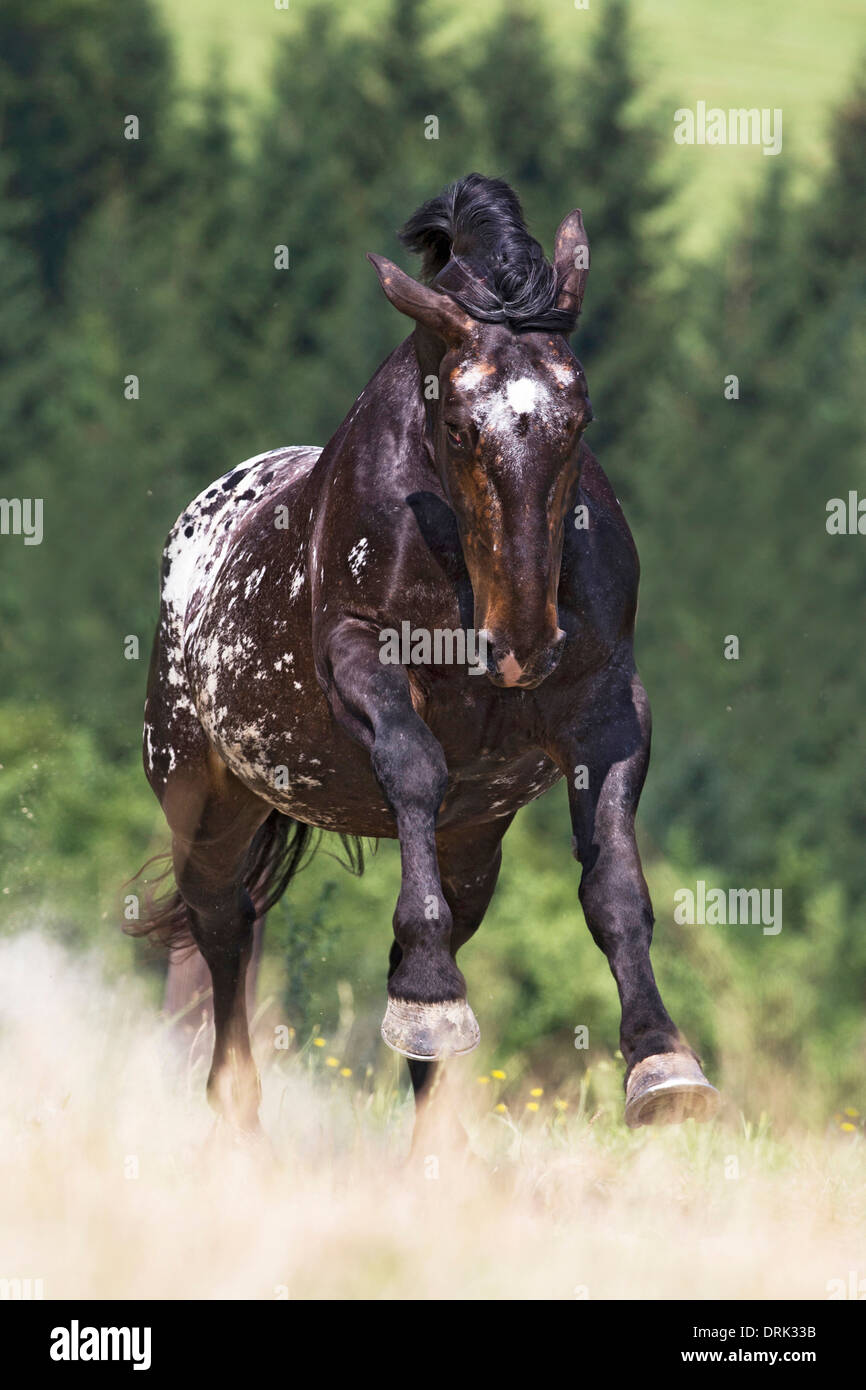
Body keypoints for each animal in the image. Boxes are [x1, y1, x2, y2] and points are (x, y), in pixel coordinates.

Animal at [134, 173, 719, 1137]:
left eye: (579, 417)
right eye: (460, 423)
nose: (523, 645)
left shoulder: (605, 707)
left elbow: (613, 887)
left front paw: (663, 1063)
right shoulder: (358, 659)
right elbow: (412, 766)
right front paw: (435, 996)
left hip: (473, 838)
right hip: (206, 796)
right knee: (224, 925)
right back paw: (240, 1108)